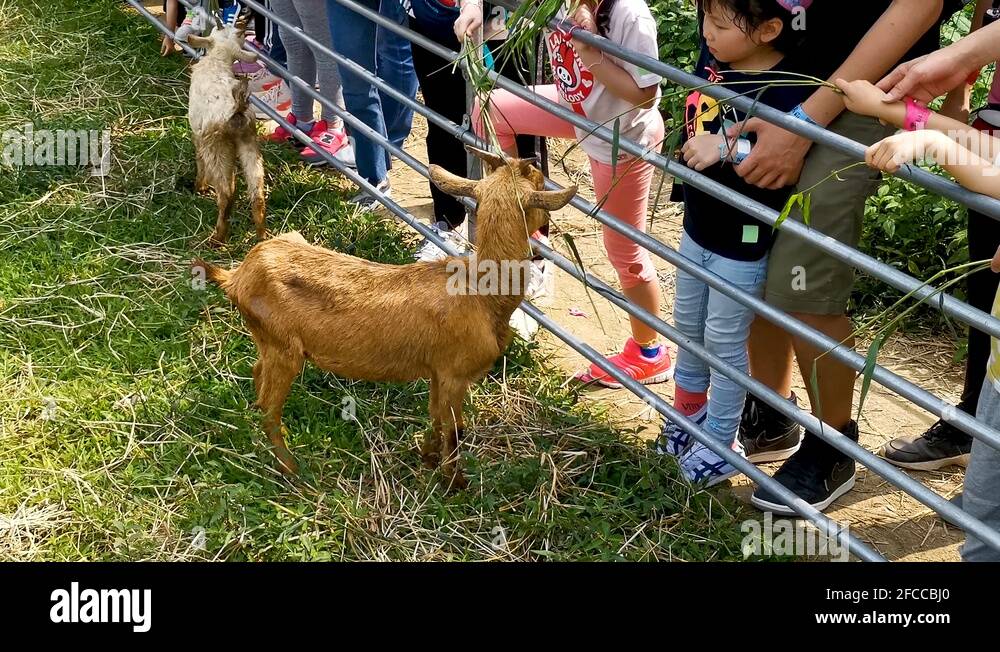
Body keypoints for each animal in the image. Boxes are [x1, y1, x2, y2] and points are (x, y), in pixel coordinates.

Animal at [187, 17, 266, 245]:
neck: (218, 62)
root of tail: (236, 108)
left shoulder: (198, 134)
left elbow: (199, 161)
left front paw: (199, 186)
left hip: (216, 145)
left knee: (226, 193)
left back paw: (218, 238)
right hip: (248, 141)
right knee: (256, 193)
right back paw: (261, 237)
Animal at [194, 147, 576, 489]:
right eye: (539, 182)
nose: (549, 227)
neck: (481, 293)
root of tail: (236, 276)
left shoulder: (438, 370)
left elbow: (435, 416)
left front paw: (427, 458)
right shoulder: (455, 372)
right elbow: (455, 428)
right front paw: (455, 484)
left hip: (268, 342)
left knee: (257, 376)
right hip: (284, 349)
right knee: (268, 408)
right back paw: (292, 469)